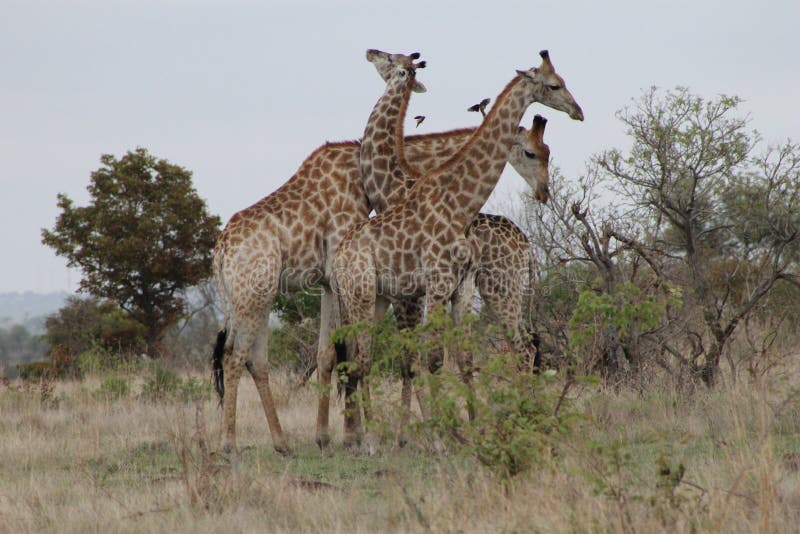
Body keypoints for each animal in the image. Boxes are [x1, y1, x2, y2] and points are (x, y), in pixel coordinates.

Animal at [332, 50, 583, 445]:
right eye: (555, 84)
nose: (578, 111)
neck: (457, 201)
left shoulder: (452, 285)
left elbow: (442, 359)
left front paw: (449, 431)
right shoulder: (430, 285)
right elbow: (429, 359)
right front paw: (437, 433)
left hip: (479, 290)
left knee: (523, 346)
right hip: (364, 292)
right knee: (360, 359)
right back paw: (368, 439)